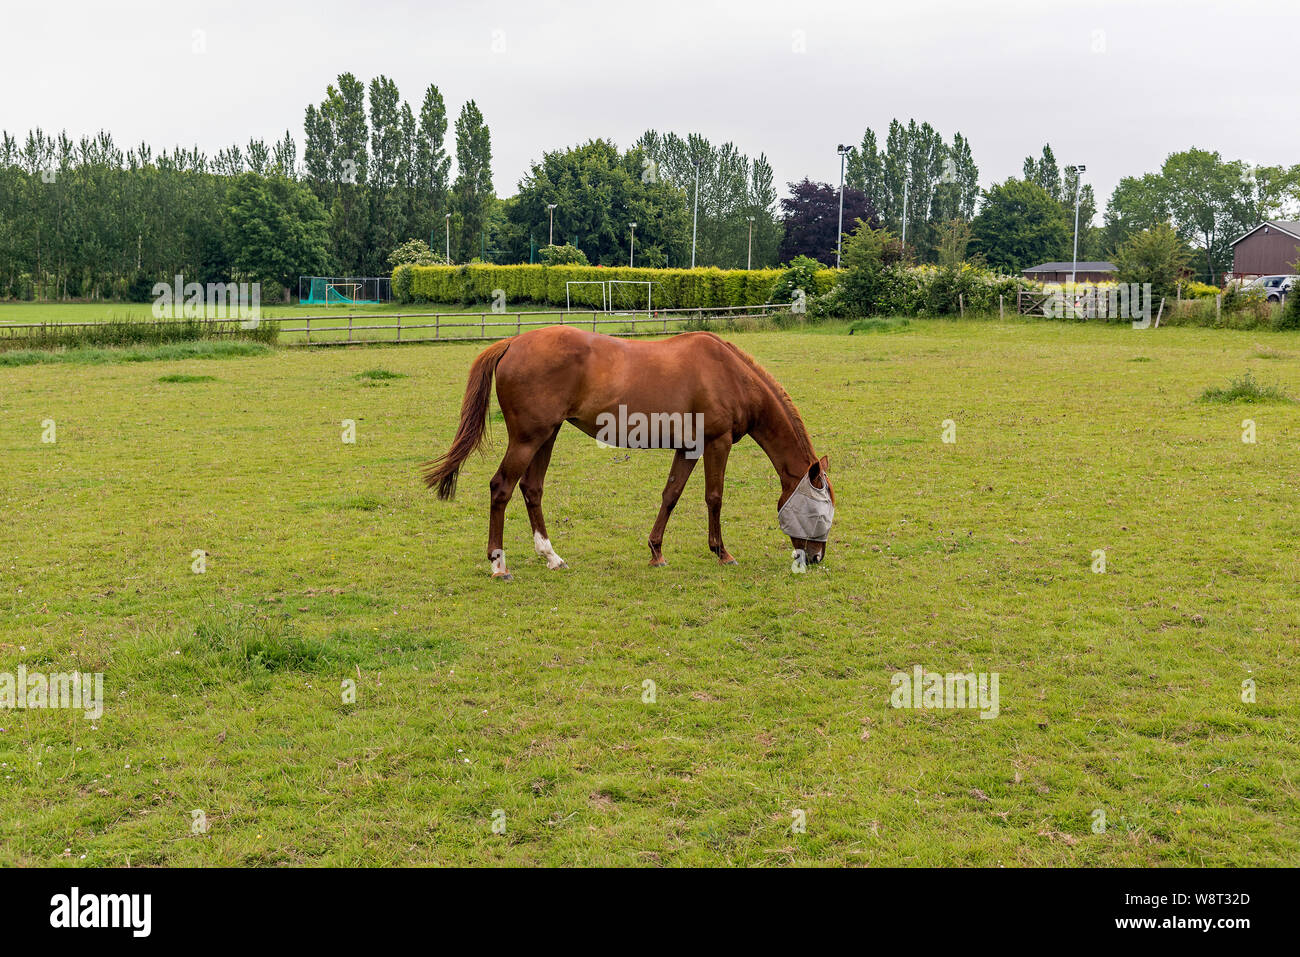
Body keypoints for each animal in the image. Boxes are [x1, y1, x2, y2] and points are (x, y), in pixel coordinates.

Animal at [422, 326, 834, 579]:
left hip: (546, 436)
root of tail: (511, 343)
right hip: (527, 439)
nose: (815, 557)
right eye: (820, 512)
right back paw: (498, 563)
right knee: (502, 488)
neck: (730, 374)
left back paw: (551, 556)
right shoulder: (716, 443)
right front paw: (722, 553)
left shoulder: (689, 448)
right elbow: (714, 497)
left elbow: (671, 495)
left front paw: (656, 551)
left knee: (531, 489)